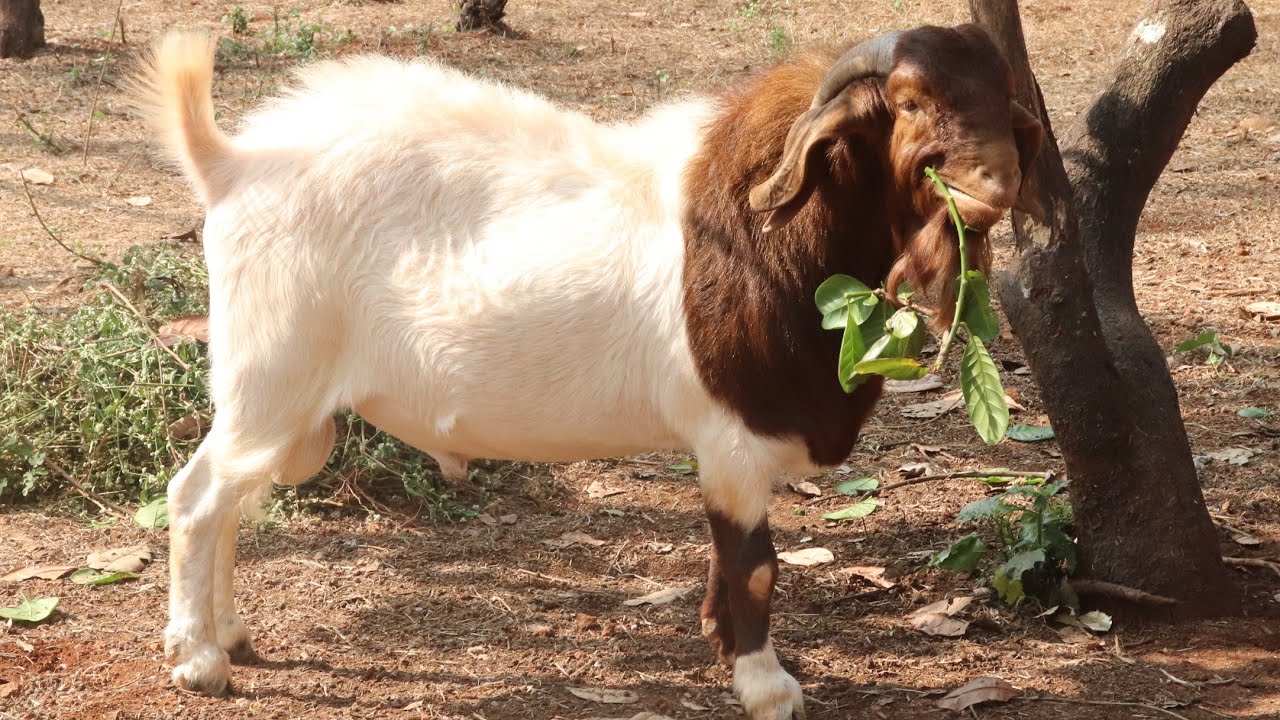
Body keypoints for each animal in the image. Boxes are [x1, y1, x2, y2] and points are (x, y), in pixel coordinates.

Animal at [132, 24, 1040, 720]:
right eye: (912, 101)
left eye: (1003, 95)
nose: (998, 182)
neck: (768, 225)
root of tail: (231, 165)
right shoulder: (731, 440)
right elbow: (754, 564)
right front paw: (765, 684)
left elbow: (728, 564)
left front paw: (721, 643)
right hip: (274, 376)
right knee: (198, 496)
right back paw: (198, 660)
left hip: (278, 405)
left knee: (231, 500)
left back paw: (230, 632)